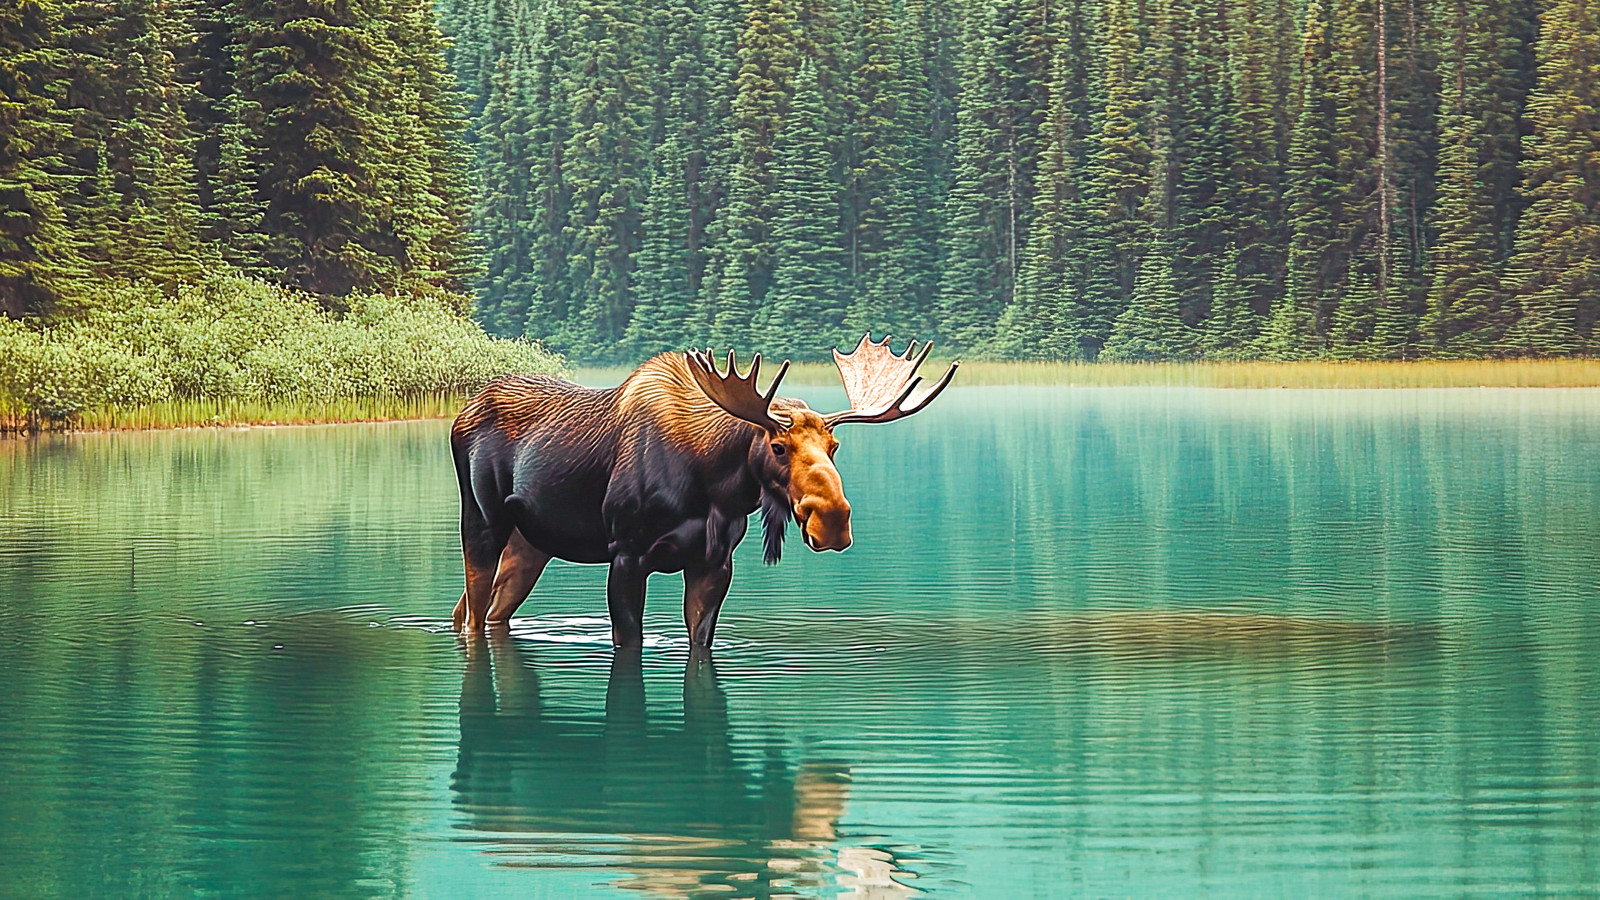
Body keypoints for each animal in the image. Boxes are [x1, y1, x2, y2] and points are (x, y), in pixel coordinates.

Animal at [449, 335, 958, 649]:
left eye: (835, 447)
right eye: (777, 445)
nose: (832, 520)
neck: (715, 488)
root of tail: (461, 413)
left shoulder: (714, 561)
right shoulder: (626, 552)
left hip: (531, 543)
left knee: (481, 610)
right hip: (482, 522)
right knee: (473, 611)